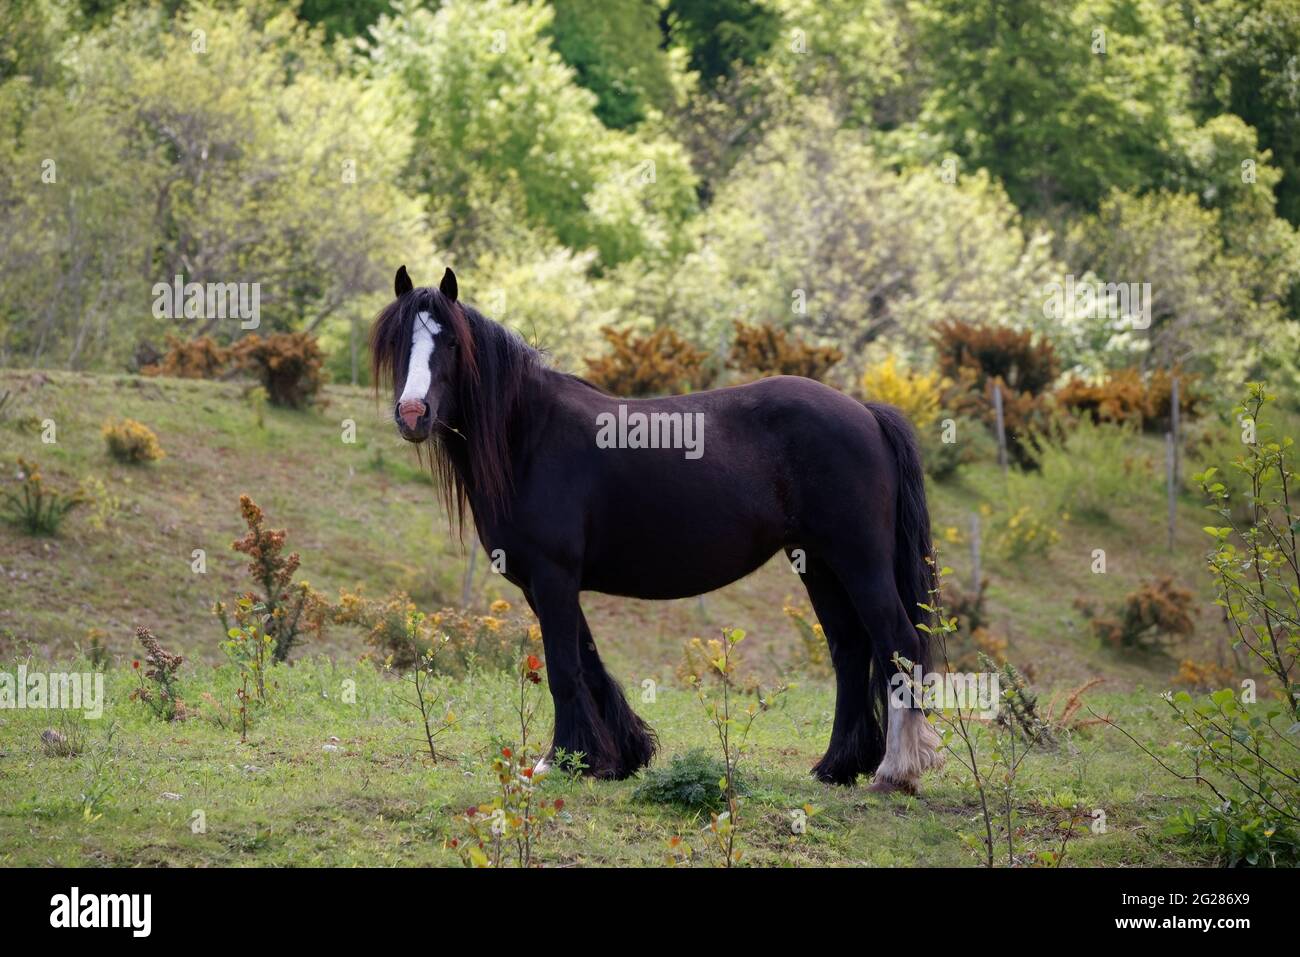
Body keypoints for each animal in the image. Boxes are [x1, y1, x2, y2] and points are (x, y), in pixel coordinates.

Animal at [371, 265, 944, 793]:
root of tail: (865, 412)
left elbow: (563, 667)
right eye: (400, 341)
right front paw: (615, 756)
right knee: (850, 650)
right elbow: (587, 661)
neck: (528, 435)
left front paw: (561, 761)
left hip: (858, 559)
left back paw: (894, 772)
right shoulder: (545, 583)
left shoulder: (553, 576)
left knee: (897, 641)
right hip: (818, 562)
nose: (413, 414)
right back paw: (836, 767)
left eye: (449, 342)